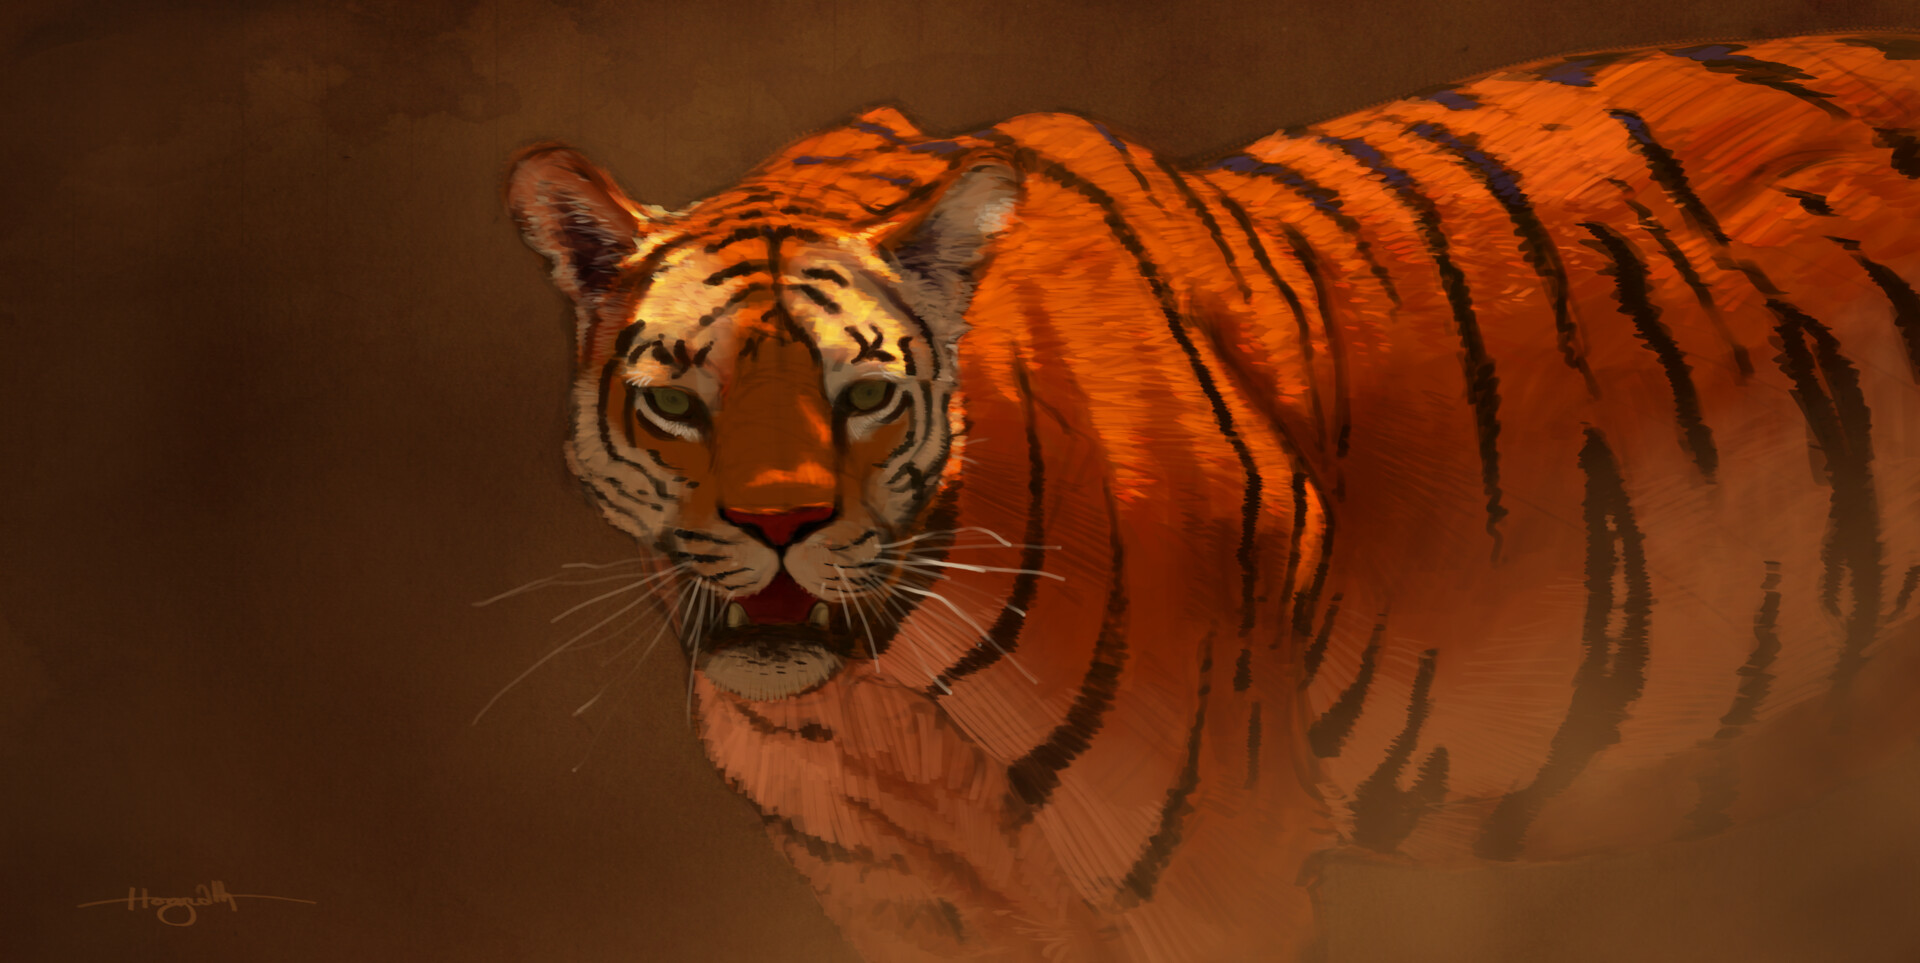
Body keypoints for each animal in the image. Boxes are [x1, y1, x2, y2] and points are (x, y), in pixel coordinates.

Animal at [502, 31, 1920, 963]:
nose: (781, 531)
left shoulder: (1206, 877)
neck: (882, 707)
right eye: (680, 399)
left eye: (863, 396)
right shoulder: (903, 904)